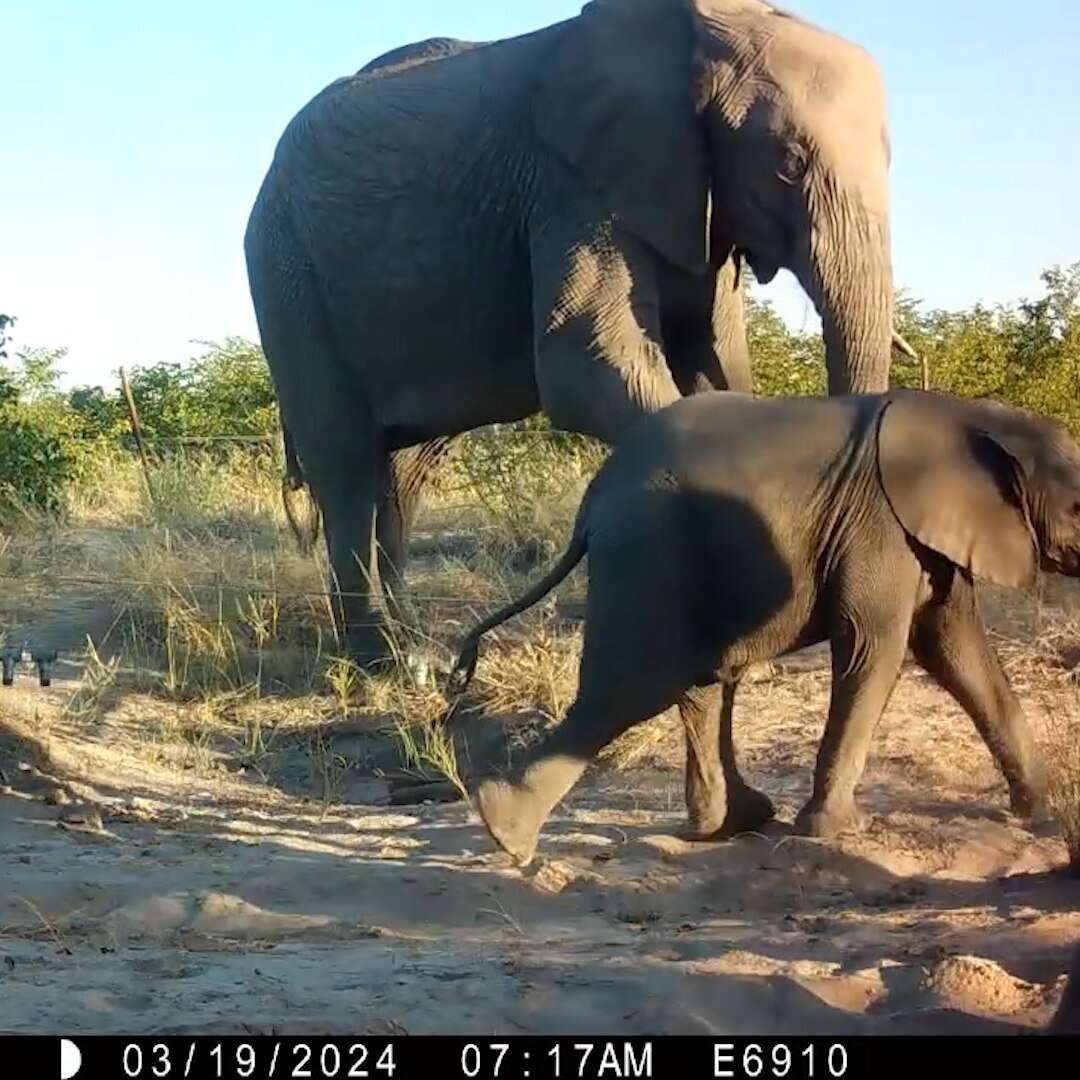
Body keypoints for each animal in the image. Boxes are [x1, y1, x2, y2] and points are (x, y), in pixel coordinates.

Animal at [245, 0, 914, 674]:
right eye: (787, 161)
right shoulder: (572, 191)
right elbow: (588, 367)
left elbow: (716, 368)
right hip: (285, 274)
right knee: (346, 459)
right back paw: (383, 663)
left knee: (407, 469)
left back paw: (418, 652)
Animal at [446, 388, 1080, 867]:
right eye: (1078, 507)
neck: (969, 416)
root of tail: (592, 501)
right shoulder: (879, 526)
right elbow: (873, 647)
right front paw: (832, 831)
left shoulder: (928, 540)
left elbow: (956, 650)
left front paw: (1043, 812)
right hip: (648, 546)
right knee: (637, 685)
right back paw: (506, 831)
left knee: (699, 680)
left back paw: (732, 824)